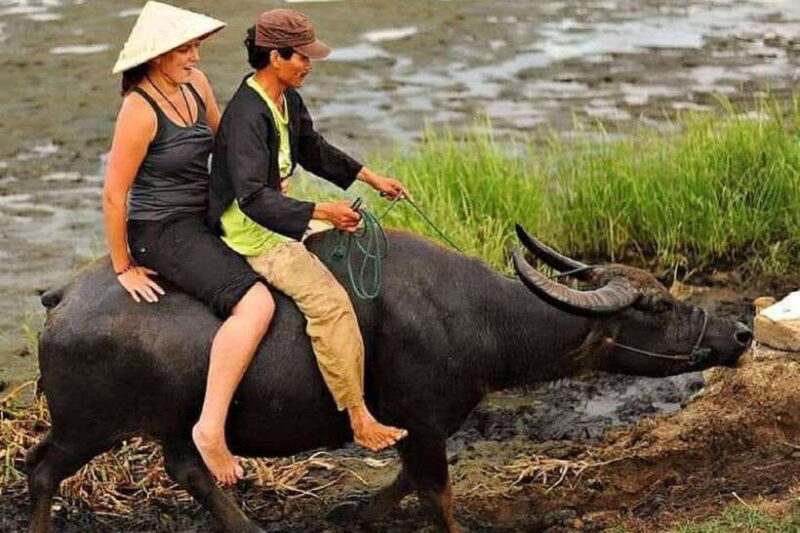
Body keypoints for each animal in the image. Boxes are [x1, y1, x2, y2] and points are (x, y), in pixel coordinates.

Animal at [27, 225, 751, 533]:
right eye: (654, 306)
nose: (739, 333)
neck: (480, 316)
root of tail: (60, 298)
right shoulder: (425, 420)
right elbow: (438, 494)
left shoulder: (414, 425)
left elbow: (407, 481)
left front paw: (351, 512)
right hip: (87, 424)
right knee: (41, 469)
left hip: (172, 425)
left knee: (189, 471)